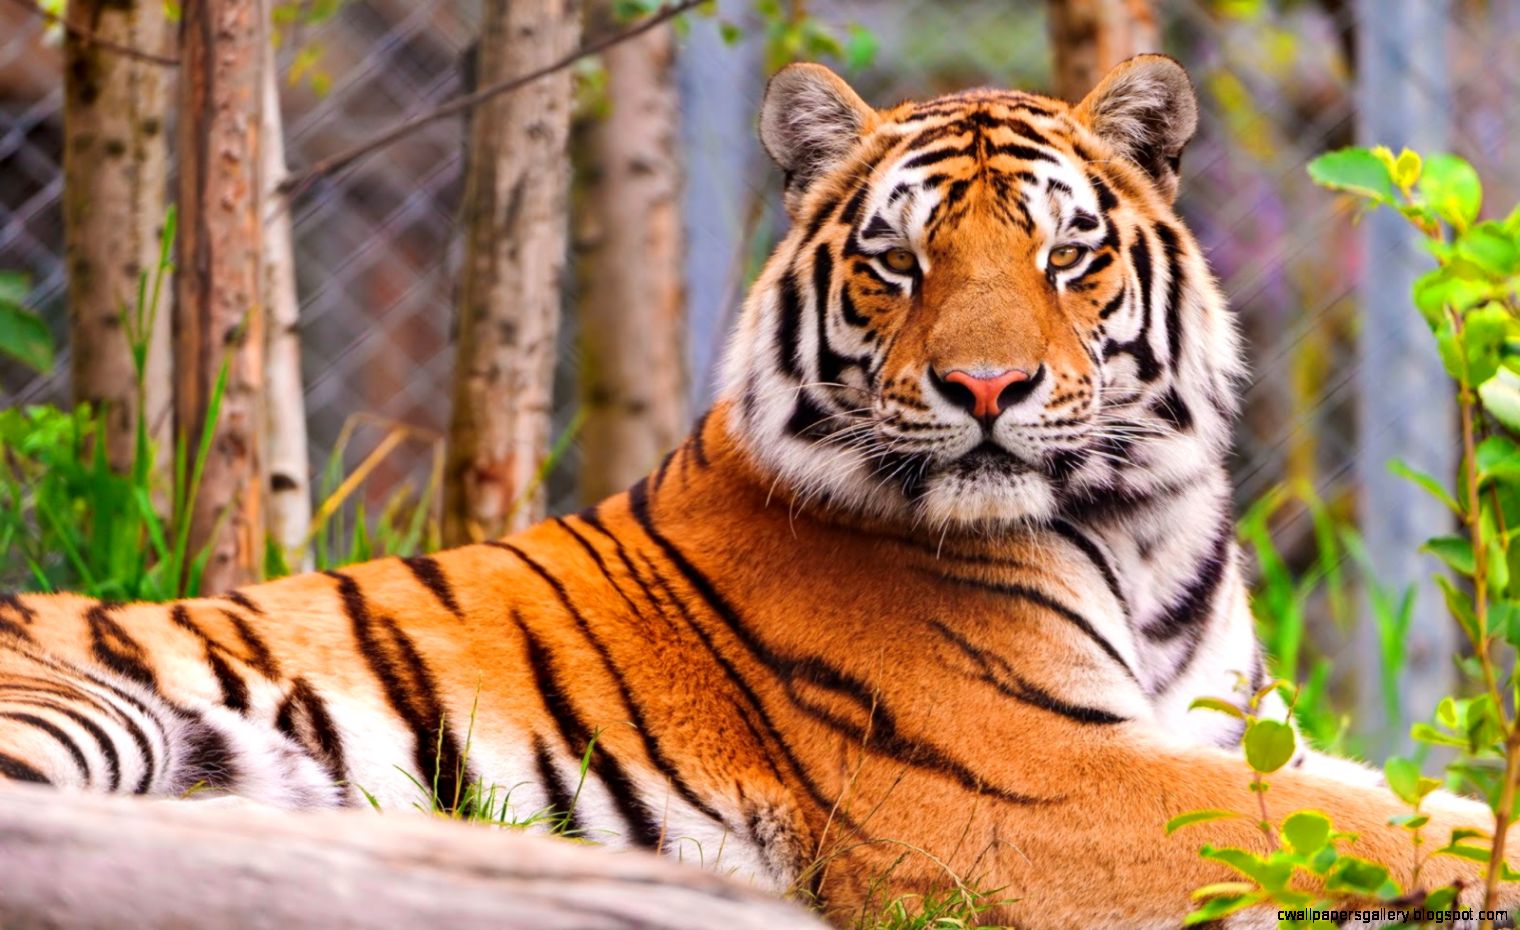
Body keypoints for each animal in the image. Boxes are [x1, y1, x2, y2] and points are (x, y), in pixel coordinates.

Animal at [0, 55, 1513, 929]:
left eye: (1065, 255)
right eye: (898, 261)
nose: (985, 388)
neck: (1136, 526)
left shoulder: (1225, 732)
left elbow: (1402, 801)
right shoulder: (1031, 785)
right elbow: (1373, 831)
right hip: (91, 710)